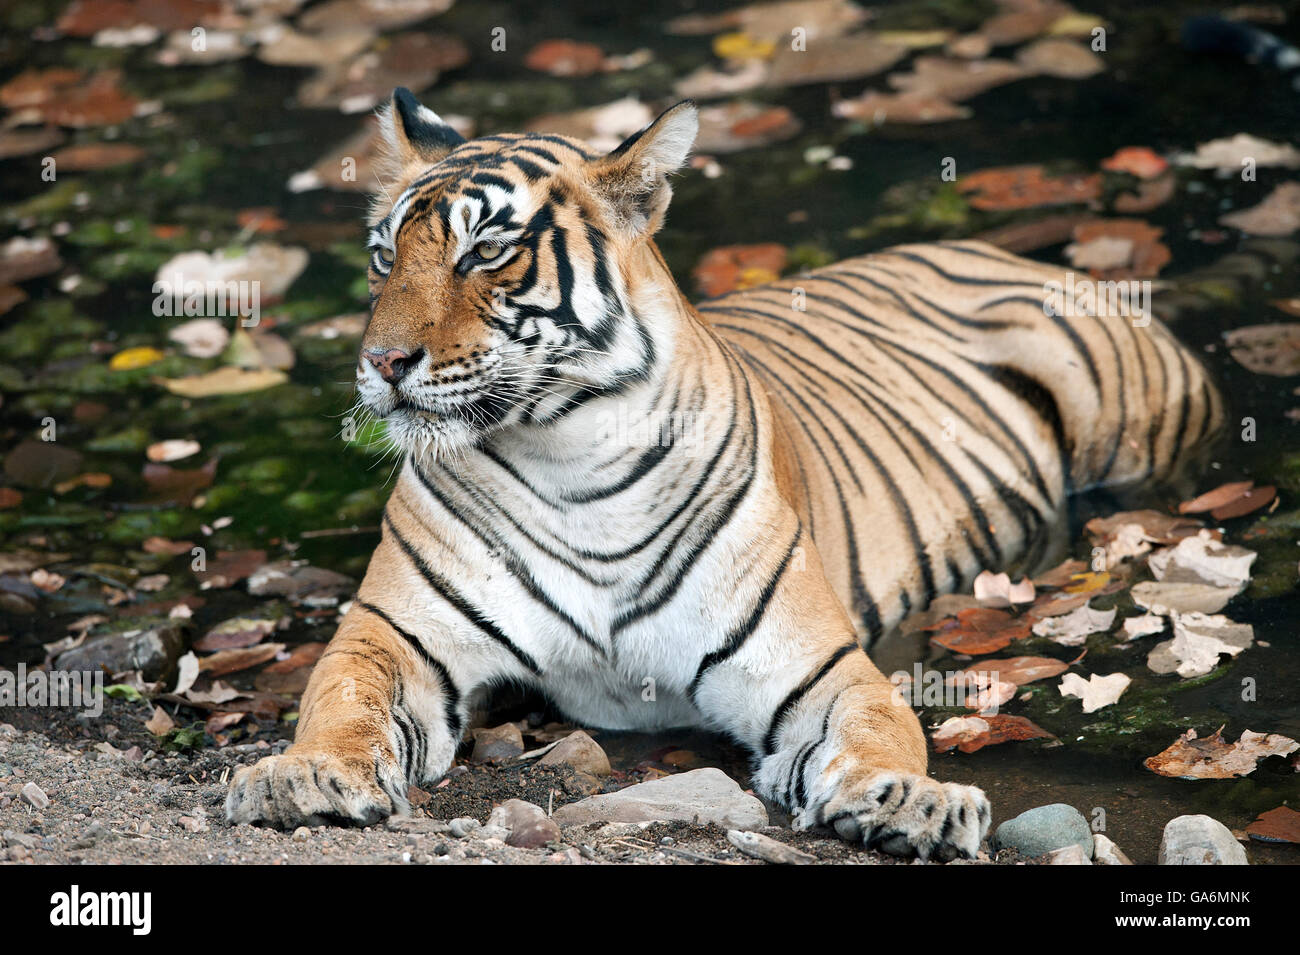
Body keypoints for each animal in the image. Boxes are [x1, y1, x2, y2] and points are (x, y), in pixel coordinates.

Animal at [225, 87, 1223, 860]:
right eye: (383, 256)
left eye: (486, 251)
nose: (381, 363)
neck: (566, 454)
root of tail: (997, 248)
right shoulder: (394, 633)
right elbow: (340, 699)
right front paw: (301, 774)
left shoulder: (818, 665)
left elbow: (882, 724)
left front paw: (910, 800)